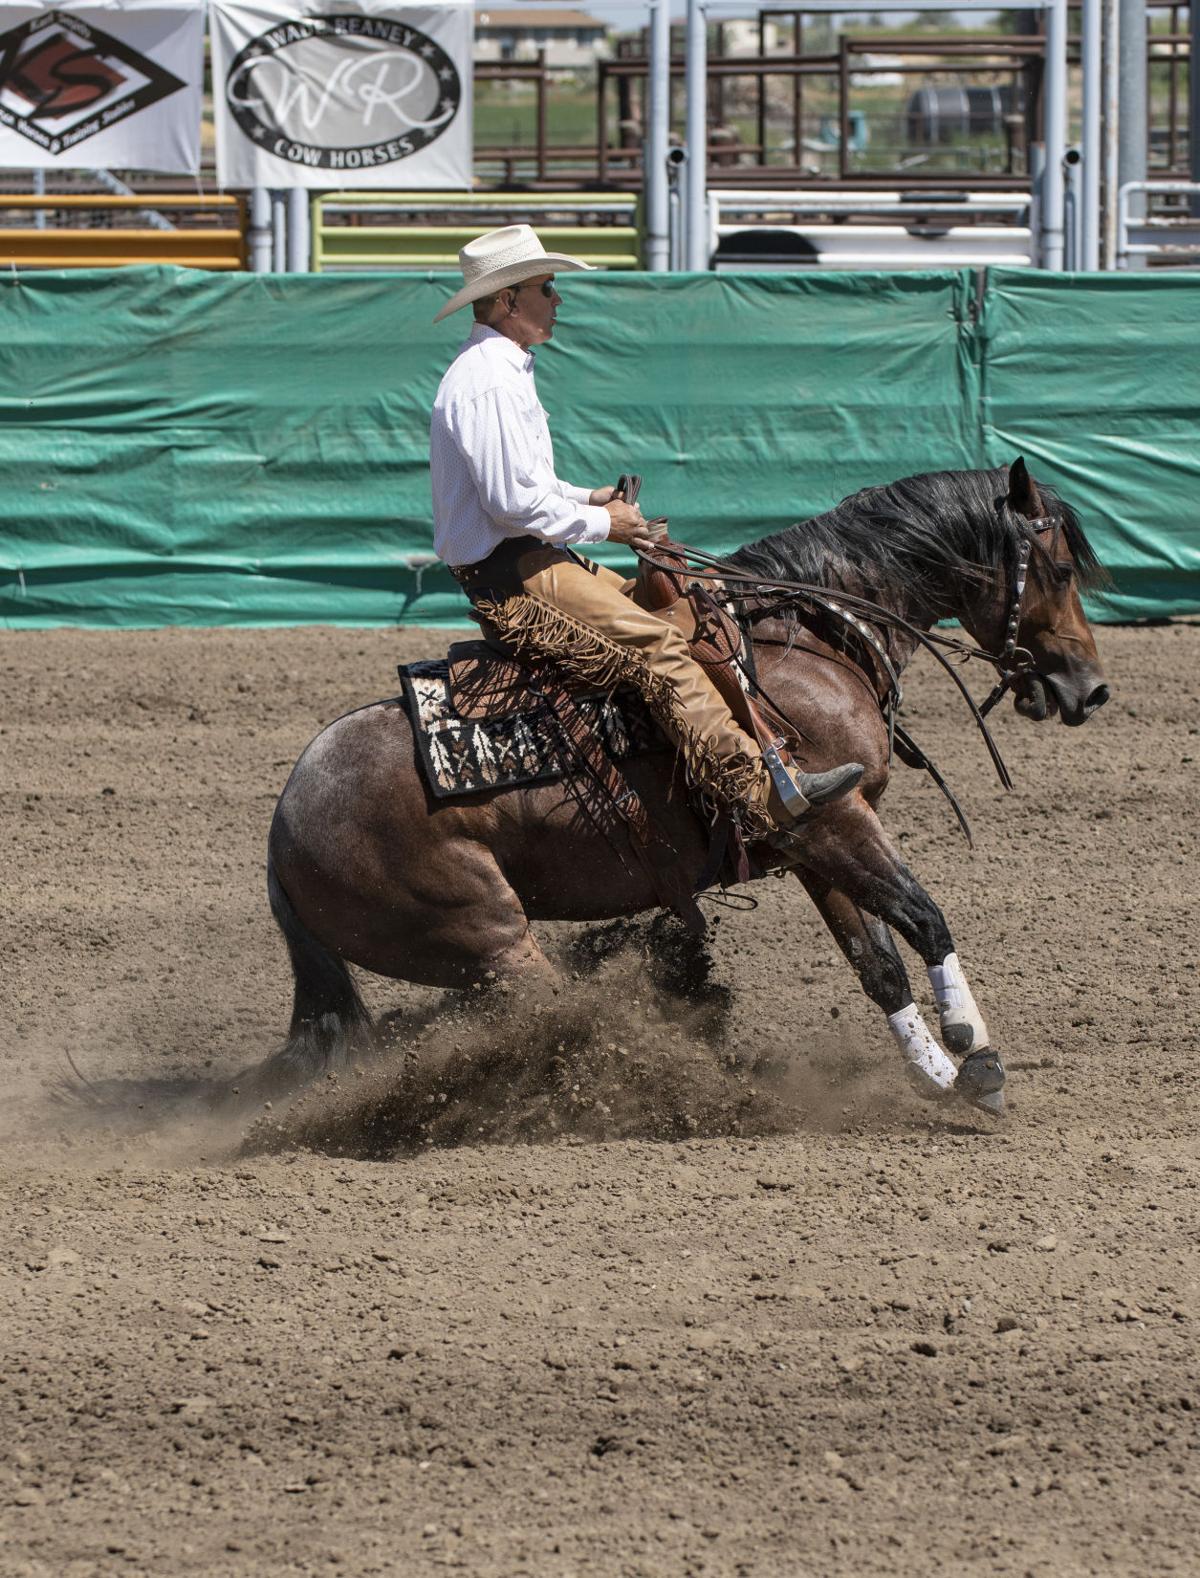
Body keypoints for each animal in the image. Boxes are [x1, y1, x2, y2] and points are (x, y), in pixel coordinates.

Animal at [261, 459, 1108, 1115]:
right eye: (1062, 570)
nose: (1090, 688)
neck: (805, 639)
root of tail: (281, 827)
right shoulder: (839, 820)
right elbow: (924, 918)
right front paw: (977, 1057)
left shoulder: (811, 841)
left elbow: (879, 964)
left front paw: (934, 1071)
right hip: (491, 938)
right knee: (551, 1016)